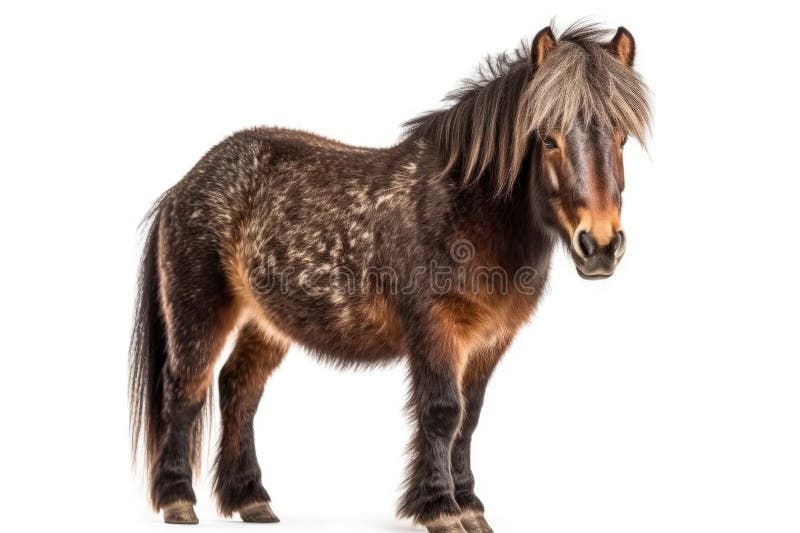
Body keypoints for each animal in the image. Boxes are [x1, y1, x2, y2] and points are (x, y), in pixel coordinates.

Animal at [129, 21, 651, 533]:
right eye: (546, 139)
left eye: (622, 138)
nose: (601, 246)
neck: (465, 211)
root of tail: (183, 186)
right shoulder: (437, 331)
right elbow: (443, 412)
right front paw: (441, 509)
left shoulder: (489, 340)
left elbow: (470, 418)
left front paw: (470, 506)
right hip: (199, 313)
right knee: (186, 391)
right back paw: (178, 501)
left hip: (266, 323)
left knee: (239, 390)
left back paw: (251, 499)